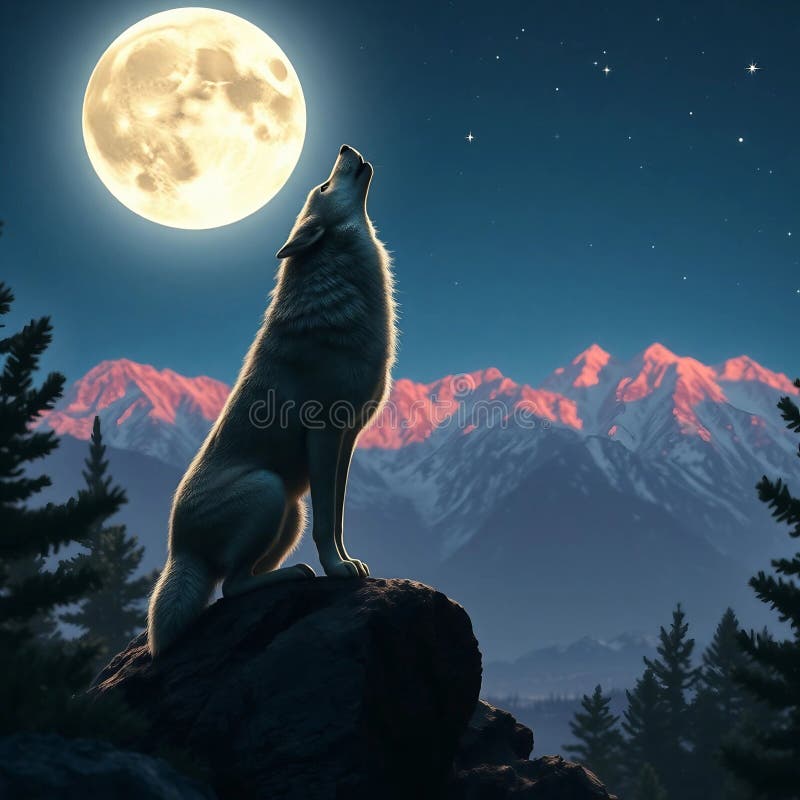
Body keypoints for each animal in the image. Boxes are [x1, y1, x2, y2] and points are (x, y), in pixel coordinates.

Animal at [147, 144, 396, 656]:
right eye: (325, 186)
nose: (345, 148)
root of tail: (179, 549)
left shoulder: (347, 441)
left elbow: (337, 515)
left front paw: (348, 562)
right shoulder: (324, 432)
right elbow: (327, 522)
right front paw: (336, 569)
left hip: (290, 508)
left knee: (238, 580)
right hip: (269, 488)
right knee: (231, 585)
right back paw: (295, 574)